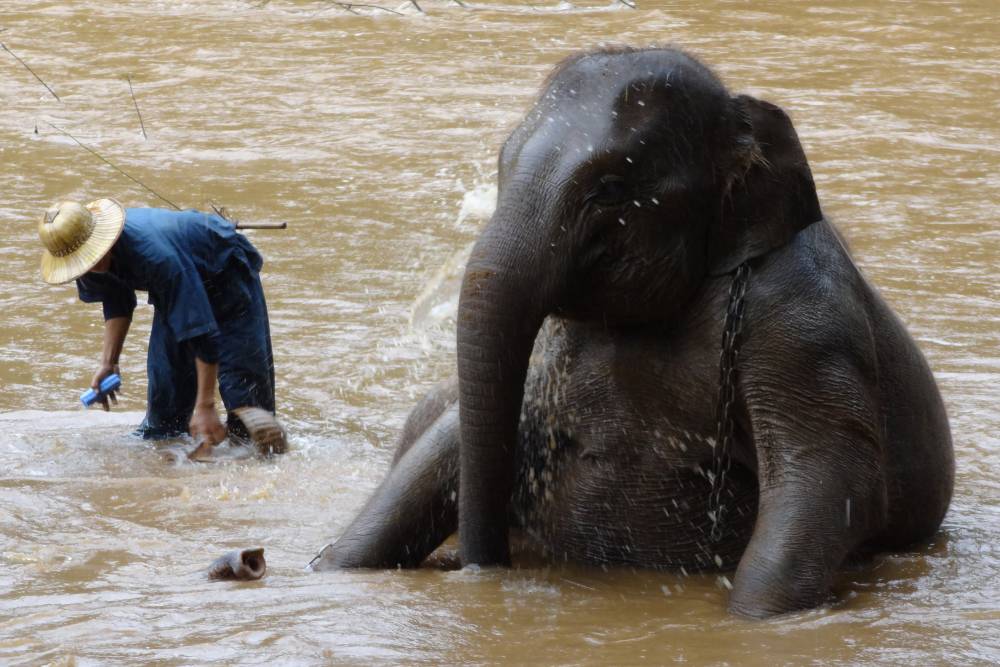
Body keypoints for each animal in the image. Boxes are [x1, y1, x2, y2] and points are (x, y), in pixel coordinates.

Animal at [311, 47, 954, 618]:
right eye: (502, 162)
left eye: (611, 190)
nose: (484, 571)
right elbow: (453, 440)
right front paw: (327, 566)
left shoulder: (806, 327)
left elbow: (831, 484)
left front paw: (750, 625)